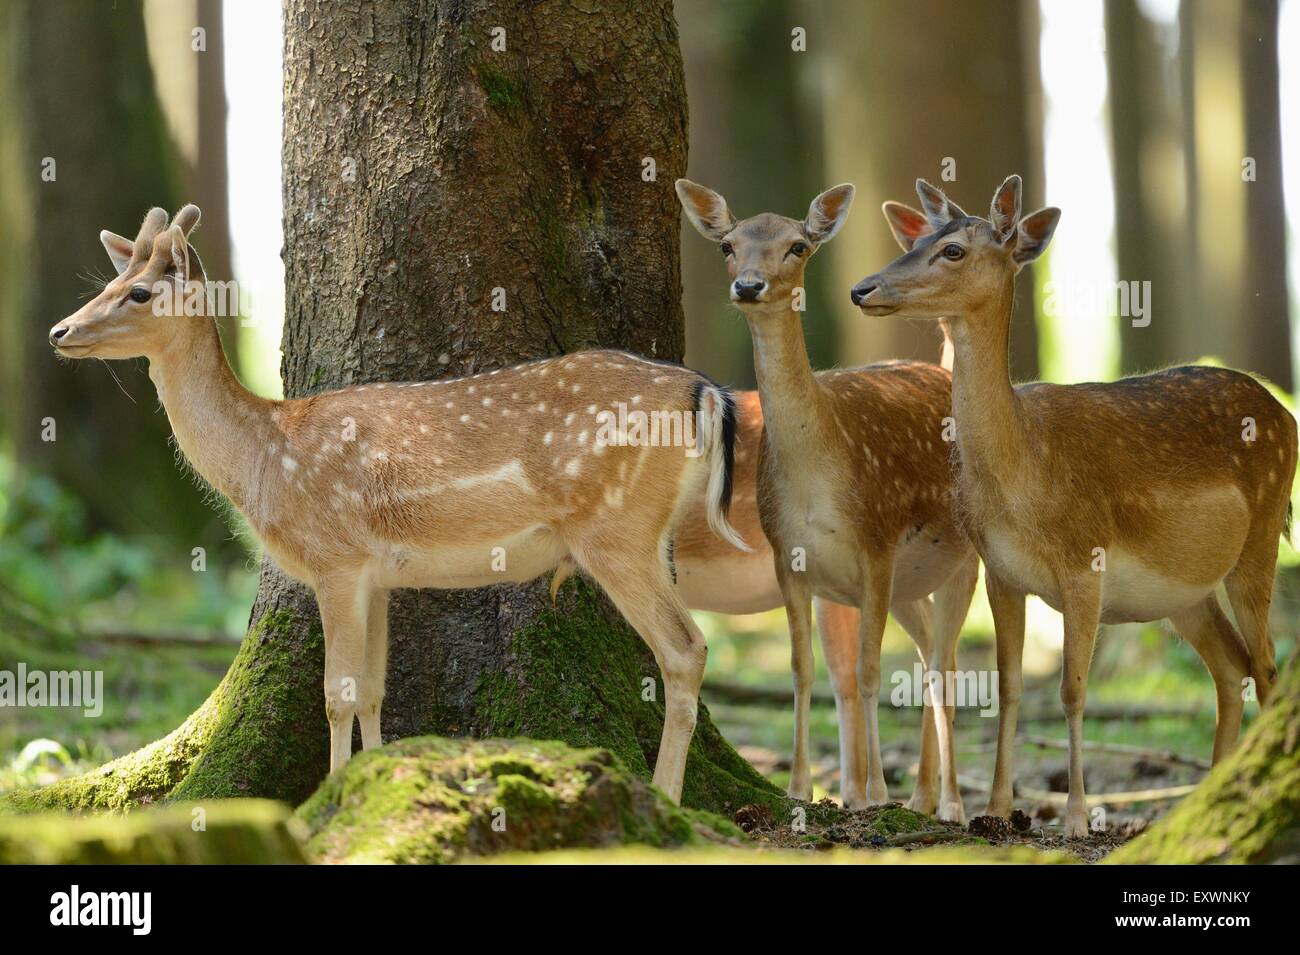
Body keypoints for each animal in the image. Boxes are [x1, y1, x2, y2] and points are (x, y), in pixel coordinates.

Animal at [48, 204, 753, 805]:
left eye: (140, 292)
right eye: (110, 280)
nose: (60, 330)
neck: (265, 460)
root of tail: (705, 392)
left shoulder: (336, 558)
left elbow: (336, 693)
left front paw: (328, 794)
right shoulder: (379, 575)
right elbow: (373, 692)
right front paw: (375, 777)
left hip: (617, 527)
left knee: (686, 649)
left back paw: (666, 797)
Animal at [677, 179, 981, 821]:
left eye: (798, 246)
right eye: (727, 246)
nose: (749, 285)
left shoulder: (869, 549)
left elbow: (860, 672)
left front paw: (866, 795)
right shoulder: (801, 563)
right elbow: (813, 671)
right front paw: (812, 791)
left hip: (961, 556)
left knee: (945, 660)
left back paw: (948, 803)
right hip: (901, 578)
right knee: (923, 653)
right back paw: (916, 795)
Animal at [851, 175, 1298, 837]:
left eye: (953, 249)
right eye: (915, 240)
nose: (863, 288)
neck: (1023, 475)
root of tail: (1285, 415)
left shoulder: (1084, 559)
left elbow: (1071, 689)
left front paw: (1077, 818)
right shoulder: (1001, 573)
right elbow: (1010, 686)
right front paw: (998, 810)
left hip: (1263, 530)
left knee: (1266, 667)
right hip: (1185, 591)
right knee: (1230, 667)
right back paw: (1202, 799)